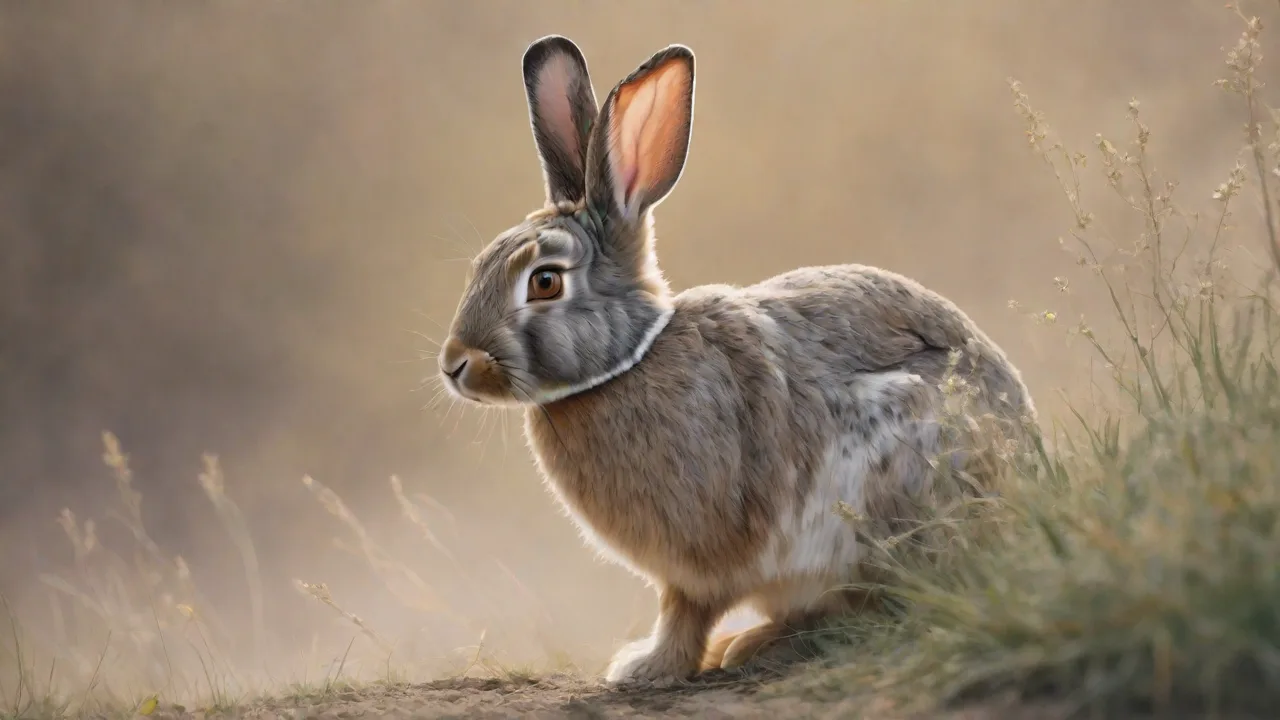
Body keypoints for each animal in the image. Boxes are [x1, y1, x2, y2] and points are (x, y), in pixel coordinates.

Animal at [437, 35, 1038, 686]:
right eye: (481, 265)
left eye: (545, 282)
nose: (454, 363)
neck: (629, 361)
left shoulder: (702, 561)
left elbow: (685, 612)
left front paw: (643, 667)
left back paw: (759, 646)